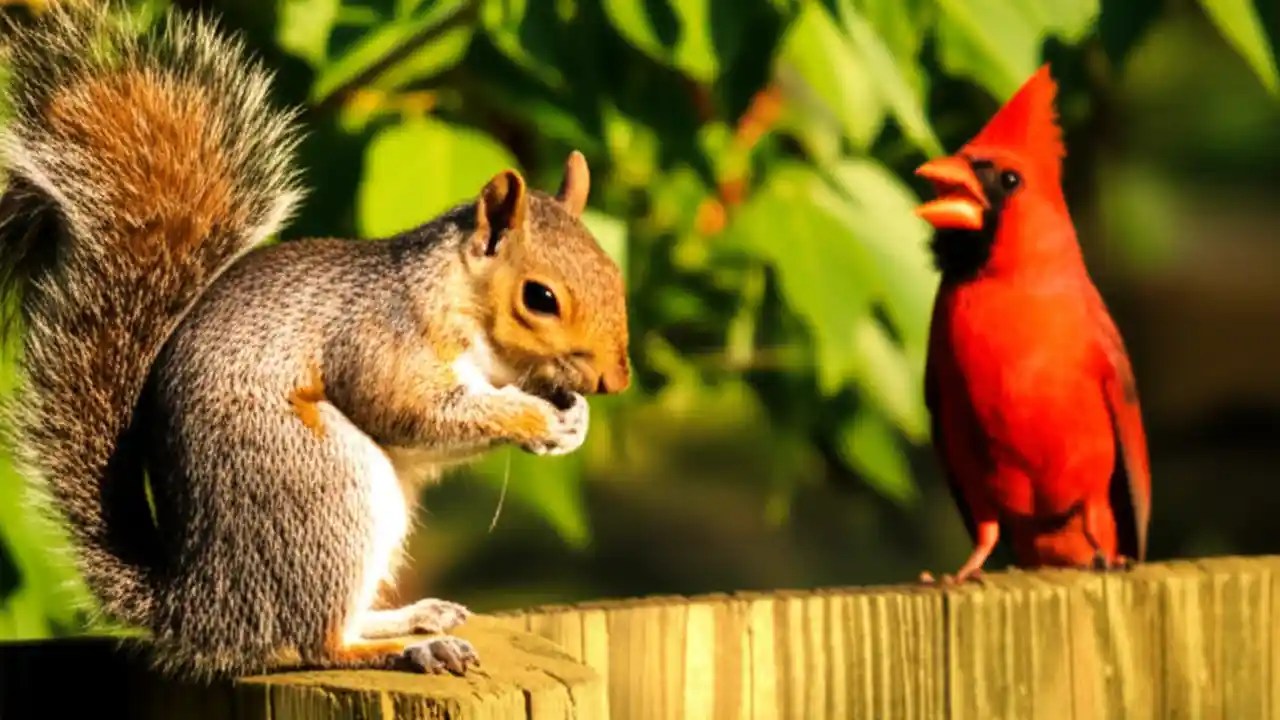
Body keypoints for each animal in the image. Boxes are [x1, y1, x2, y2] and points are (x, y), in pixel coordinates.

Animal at [0, 3, 629, 680]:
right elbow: (411, 410)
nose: (615, 379)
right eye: (541, 298)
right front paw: (535, 417)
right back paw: (410, 648)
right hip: (324, 485)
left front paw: (573, 420)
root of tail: (203, 608)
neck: (453, 299)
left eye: (614, 273)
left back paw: (414, 618)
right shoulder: (378, 338)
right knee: (315, 640)